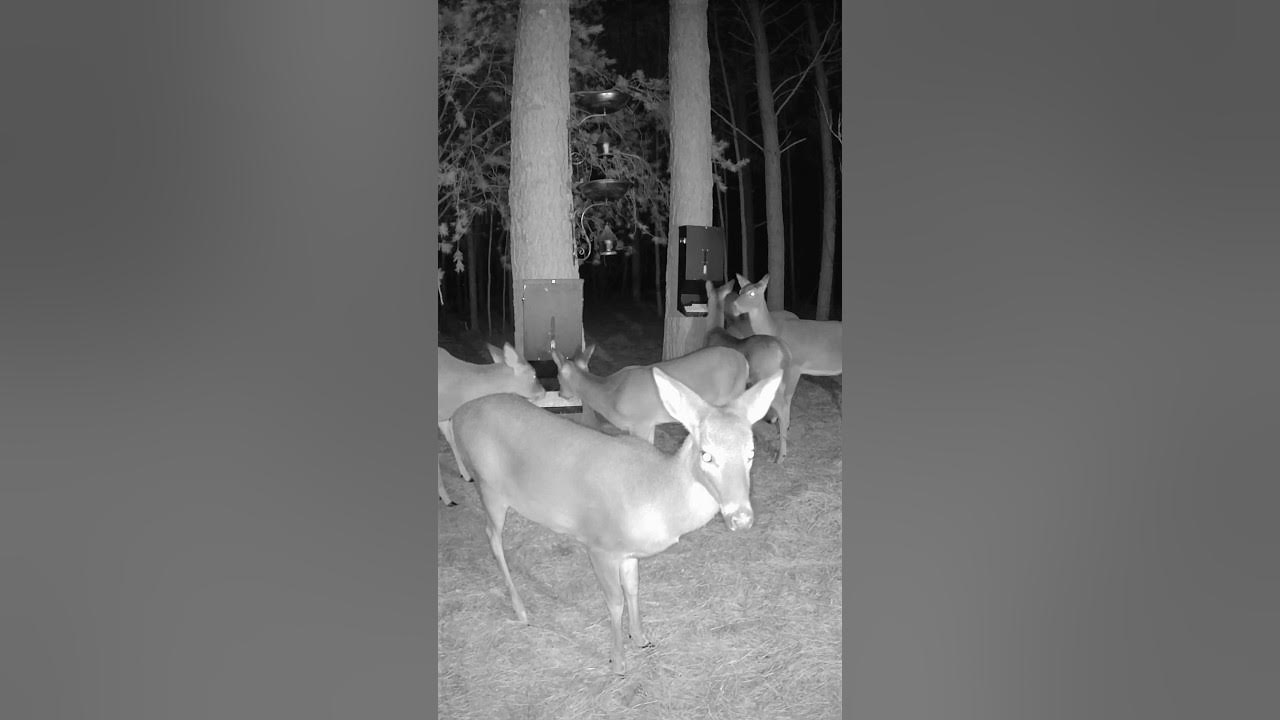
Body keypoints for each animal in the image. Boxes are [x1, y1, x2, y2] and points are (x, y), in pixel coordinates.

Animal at [437, 343, 545, 506]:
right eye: (533, 374)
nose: (544, 391)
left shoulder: (444, 416)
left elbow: (452, 439)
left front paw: (465, 477)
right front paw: (446, 498)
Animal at [449, 366, 783, 674]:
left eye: (751, 453)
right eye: (706, 455)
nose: (741, 518)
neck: (658, 496)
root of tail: (458, 415)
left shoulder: (628, 552)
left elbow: (633, 589)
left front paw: (641, 638)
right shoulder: (600, 546)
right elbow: (615, 601)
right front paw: (618, 661)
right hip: (489, 487)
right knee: (492, 538)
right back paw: (521, 610)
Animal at [551, 343, 750, 445]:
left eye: (557, 375)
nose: (561, 394)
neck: (611, 395)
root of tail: (744, 361)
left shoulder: (639, 423)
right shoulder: (650, 423)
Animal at [703, 279, 800, 461]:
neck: (714, 330)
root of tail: (783, 349)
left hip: (766, 377)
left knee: (782, 407)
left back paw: (780, 455)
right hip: (781, 379)